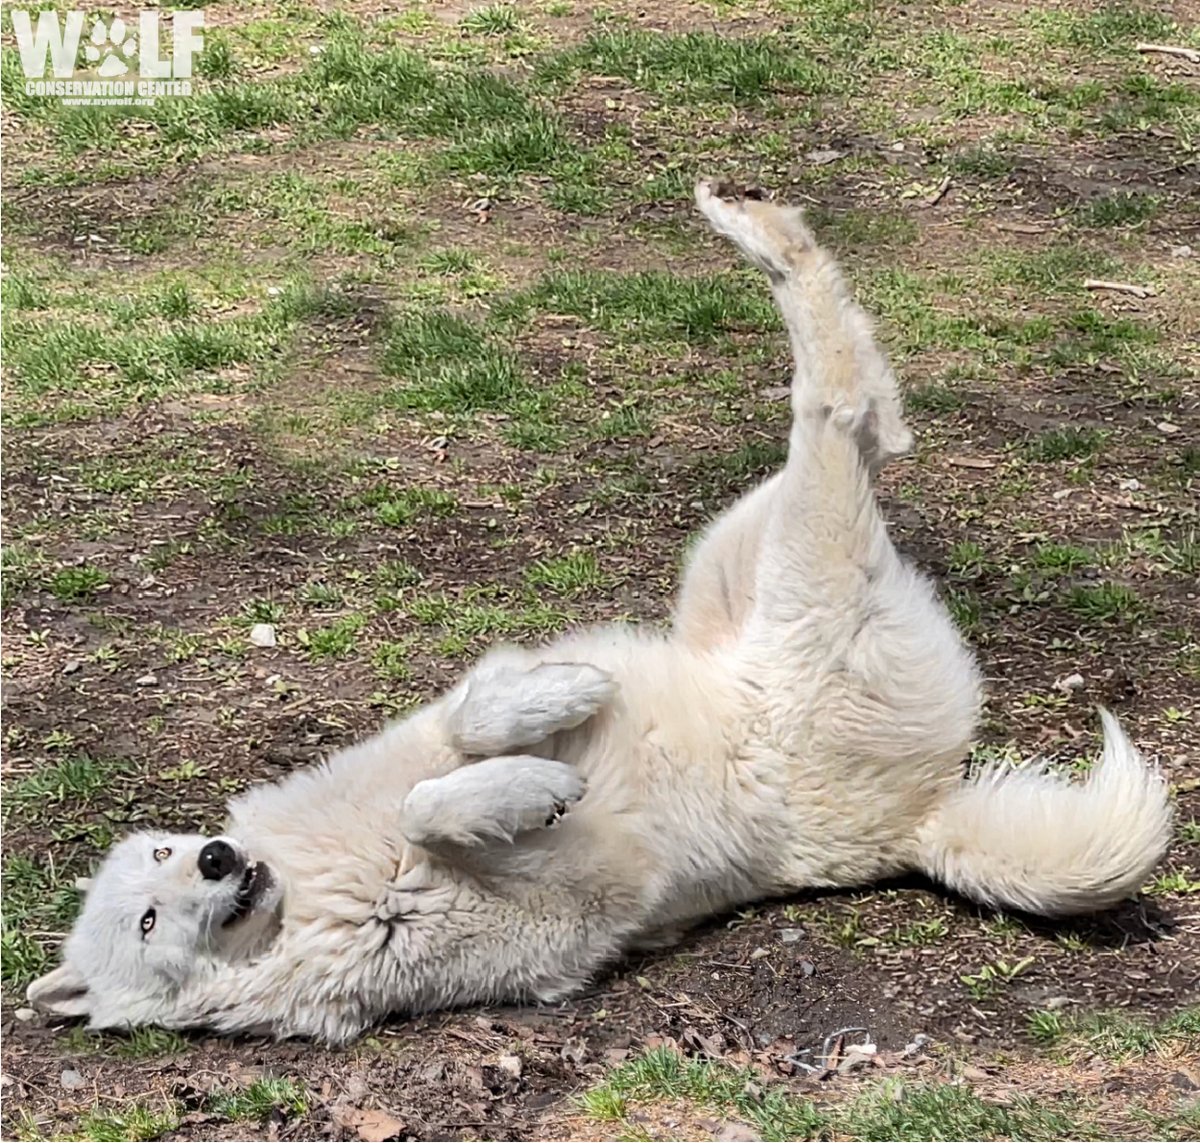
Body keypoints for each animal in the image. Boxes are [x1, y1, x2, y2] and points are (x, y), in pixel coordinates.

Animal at [27, 181, 1173, 1045]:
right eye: (149, 917)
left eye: (165, 860)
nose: (219, 859)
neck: (317, 892)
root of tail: (925, 816)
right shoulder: (558, 909)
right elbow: (439, 810)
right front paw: (532, 792)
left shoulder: (430, 730)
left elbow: (463, 731)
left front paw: (552, 712)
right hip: (803, 561)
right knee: (842, 407)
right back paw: (762, 230)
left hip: (733, 548)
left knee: (855, 409)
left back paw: (748, 221)